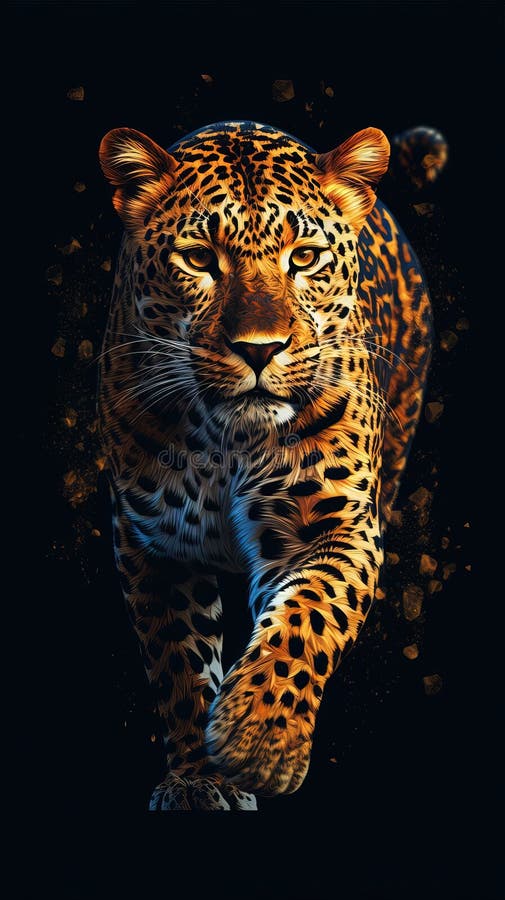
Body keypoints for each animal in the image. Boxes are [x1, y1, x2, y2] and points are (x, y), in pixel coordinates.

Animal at [98, 119, 441, 811]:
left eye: (304, 257)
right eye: (199, 259)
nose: (260, 350)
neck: (227, 440)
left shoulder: (334, 526)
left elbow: (306, 619)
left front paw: (260, 742)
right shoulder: (153, 542)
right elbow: (178, 665)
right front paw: (197, 780)